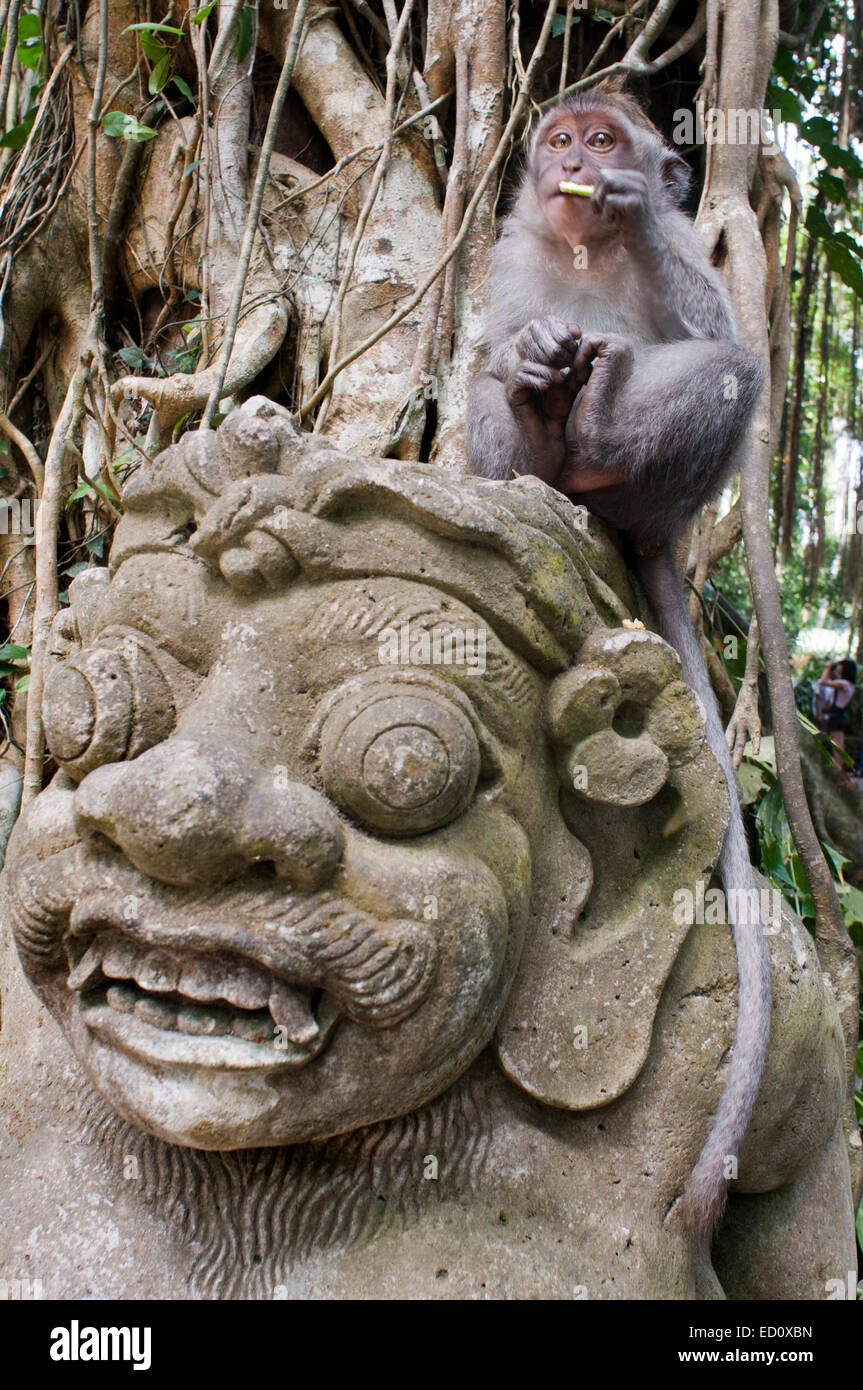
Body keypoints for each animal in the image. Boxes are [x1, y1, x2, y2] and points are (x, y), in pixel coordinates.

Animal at [466, 79, 770, 1235]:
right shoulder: (507, 256)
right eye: (556, 140)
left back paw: (593, 429)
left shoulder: (686, 243)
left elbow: (716, 326)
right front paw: (521, 365)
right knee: (494, 386)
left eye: (605, 141)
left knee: (724, 367)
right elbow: (492, 338)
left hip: (663, 498)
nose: (574, 165)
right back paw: (540, 433)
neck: (583, 251)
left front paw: (633, 205)